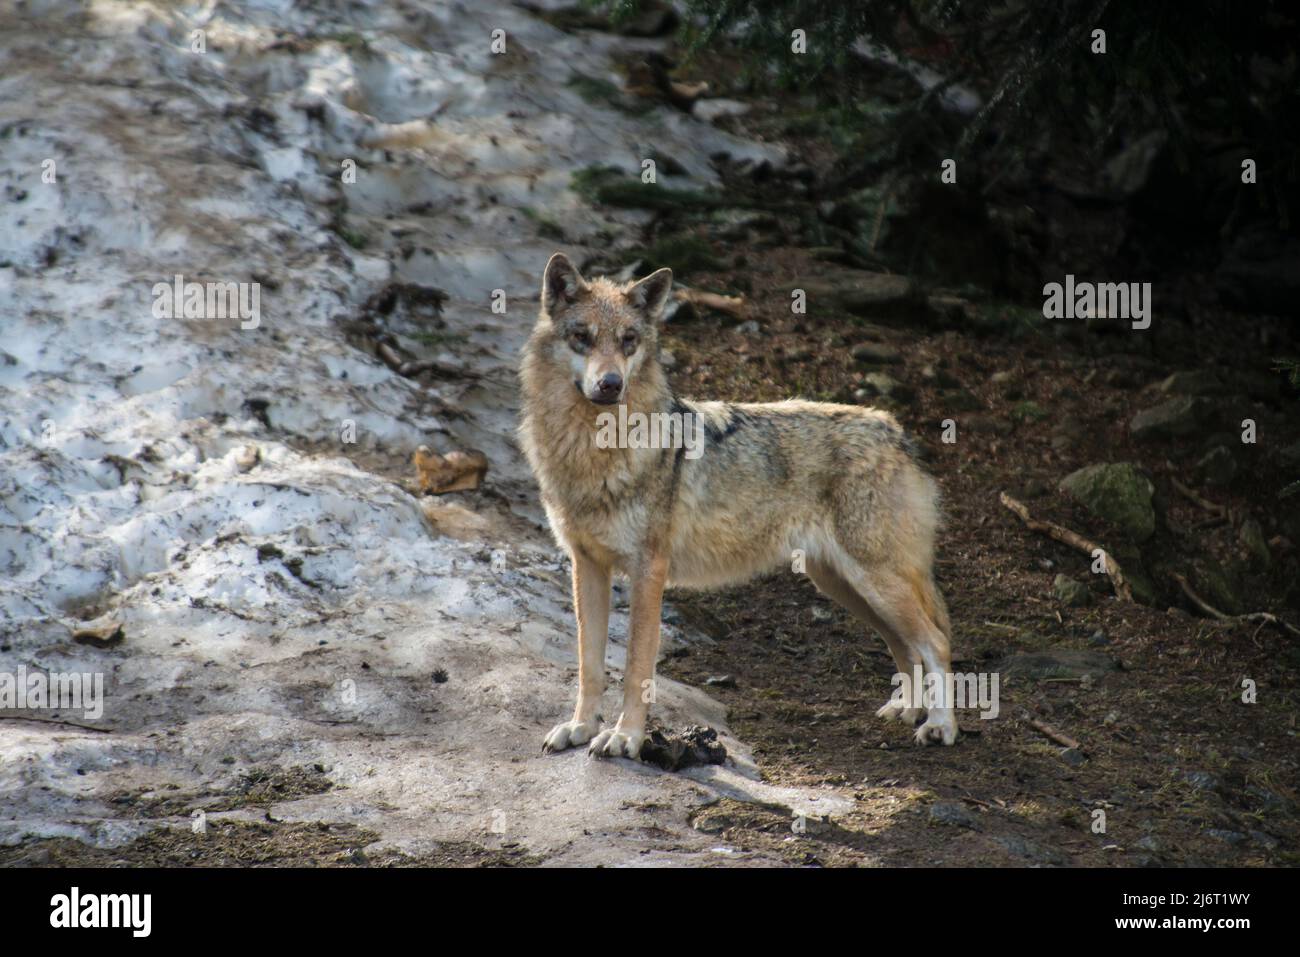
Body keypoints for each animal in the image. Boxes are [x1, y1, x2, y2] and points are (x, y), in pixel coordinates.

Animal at [519, 253, 957, 761]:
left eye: (628, 341)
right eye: (582, 337)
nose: (610, 384)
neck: (593, 449)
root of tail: (895, 429)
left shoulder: (649, 571)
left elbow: (635, 669)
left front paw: (626, 737)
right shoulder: (587, 565)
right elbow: (589, 665)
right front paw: (580, 727)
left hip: (874, 581)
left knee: (935, 641)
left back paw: (940, 727)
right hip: (845, 586)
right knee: (905, 646)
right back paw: (906, 710)